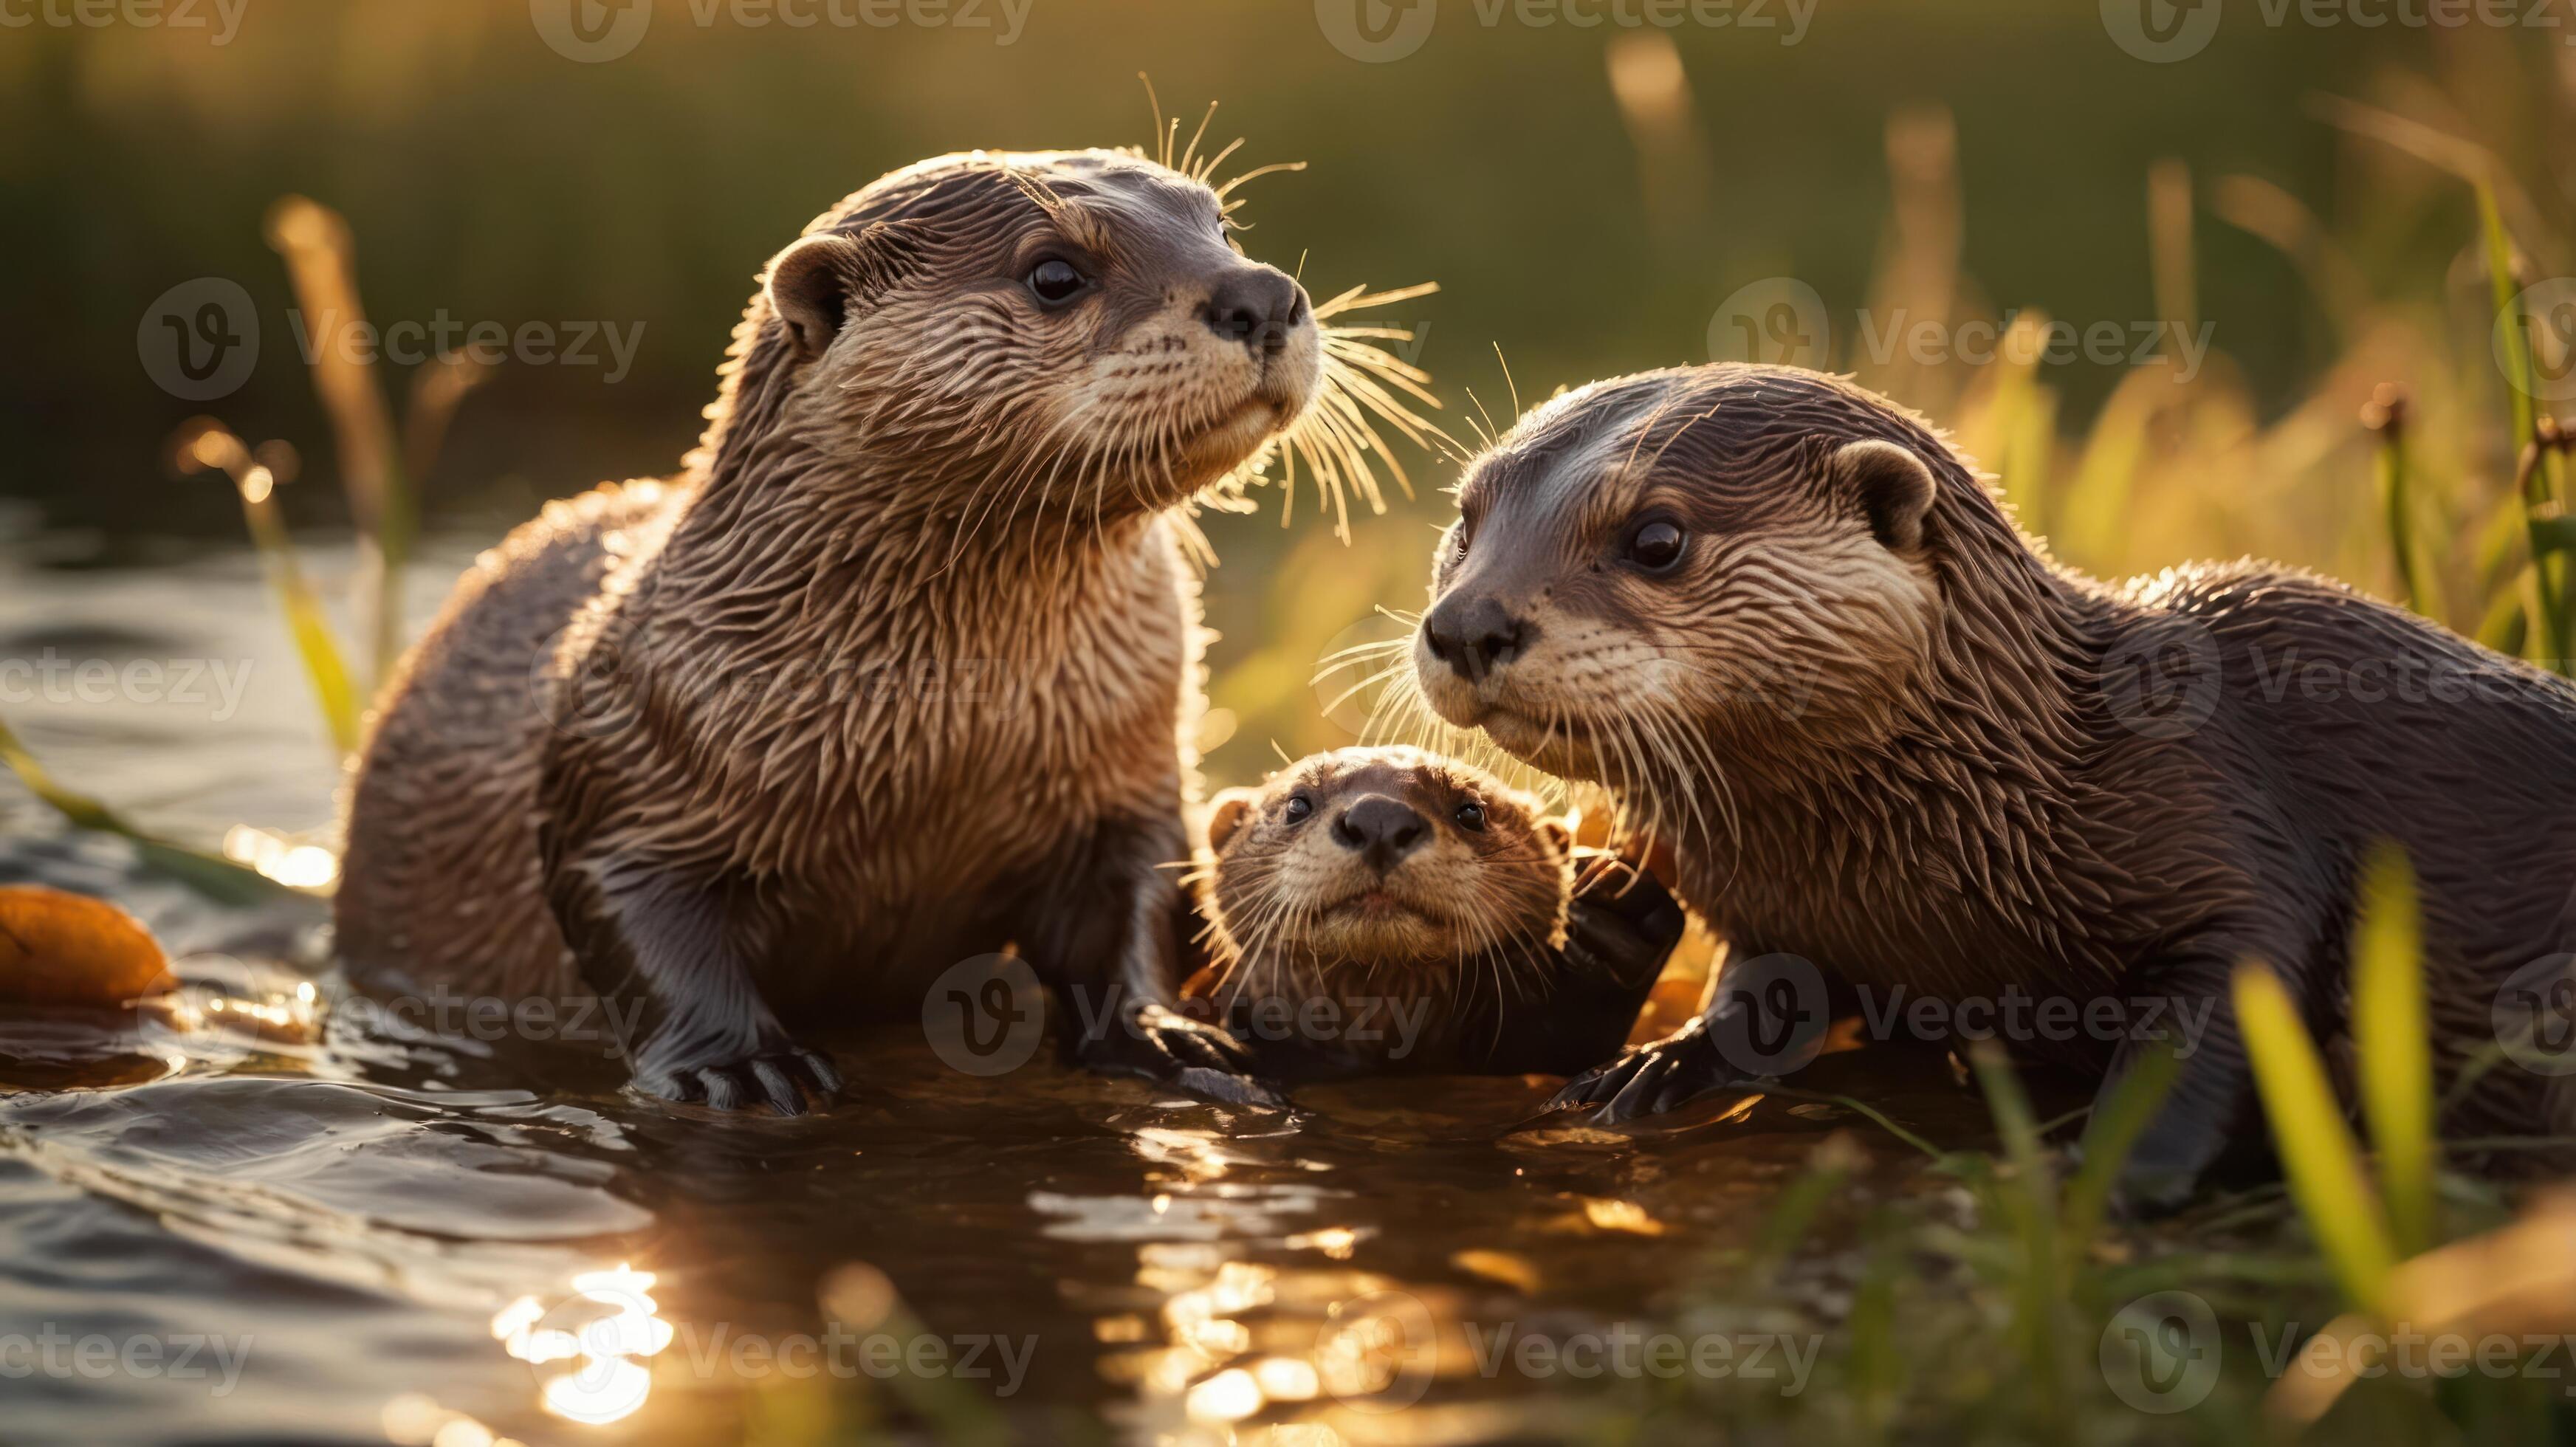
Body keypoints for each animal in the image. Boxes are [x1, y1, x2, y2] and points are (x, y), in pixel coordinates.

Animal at [337, 148, 1396, 1114]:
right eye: (1056, 272)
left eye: (1221, 226)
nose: (1264, 294)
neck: (949, 734)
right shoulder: (630, 760)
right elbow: (650, 931)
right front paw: (737, 1066)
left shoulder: (1124, 776)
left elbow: (1130, 915)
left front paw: (1167, 1033)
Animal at [1406, 362, 2576, 1206]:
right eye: (1465, 522)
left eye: (1656, 537)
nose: (1467, 623)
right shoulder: (1781, 918)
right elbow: (1760, 1001)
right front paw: (1652, 1066)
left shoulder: (2229, 834)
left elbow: (2212, 1039)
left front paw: (2092, 1178)